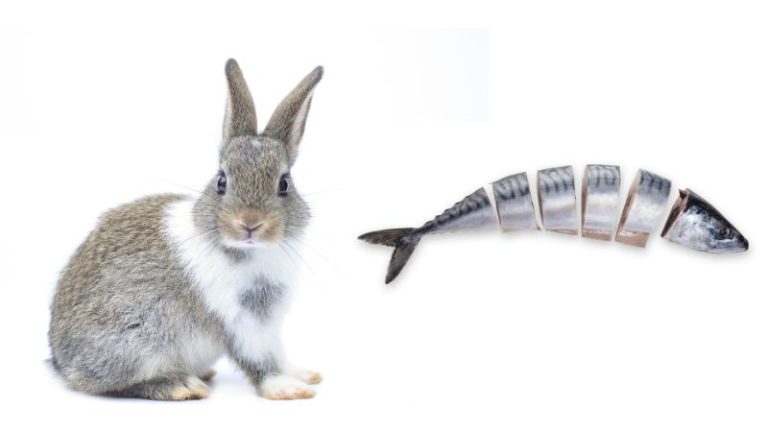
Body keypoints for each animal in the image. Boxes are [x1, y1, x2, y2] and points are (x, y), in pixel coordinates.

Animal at [48, 59, 324, 400]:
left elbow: (278, 354)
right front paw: (287, 389)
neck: (245, 251)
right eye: (221, 181)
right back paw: (182, 385)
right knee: (100, 382)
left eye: (284, 184)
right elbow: (259, 360)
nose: (249, 223)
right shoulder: (242, 323)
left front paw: (303, 375)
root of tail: (60, 359)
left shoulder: (266, 325)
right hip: (136, 337)